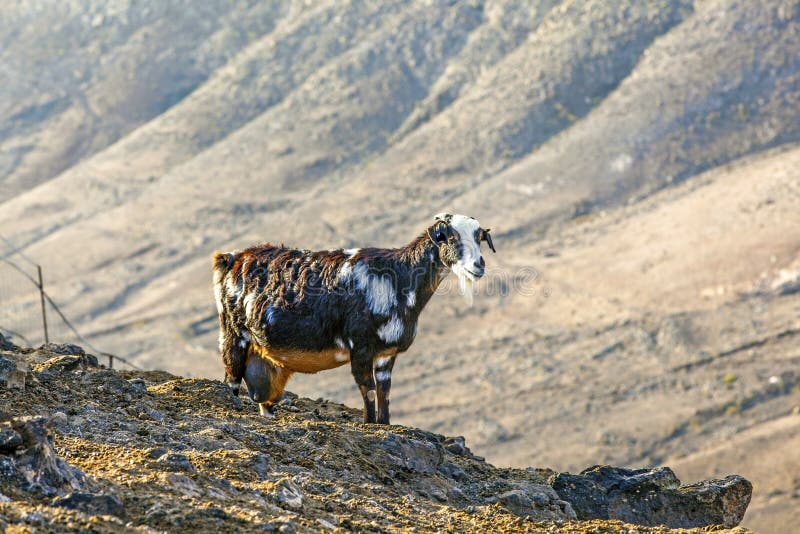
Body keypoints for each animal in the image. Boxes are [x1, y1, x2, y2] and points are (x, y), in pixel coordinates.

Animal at [212, 213, 495, 424]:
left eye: (479, 237)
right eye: (451, 237)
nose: (479, 265)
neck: (398, 277)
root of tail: (230, 258)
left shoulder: (386, 354)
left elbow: (384, 393)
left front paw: (384, 423)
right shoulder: (360, 347)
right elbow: (367, 389)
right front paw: (369, 423)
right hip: (234, 335)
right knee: (231, 379)